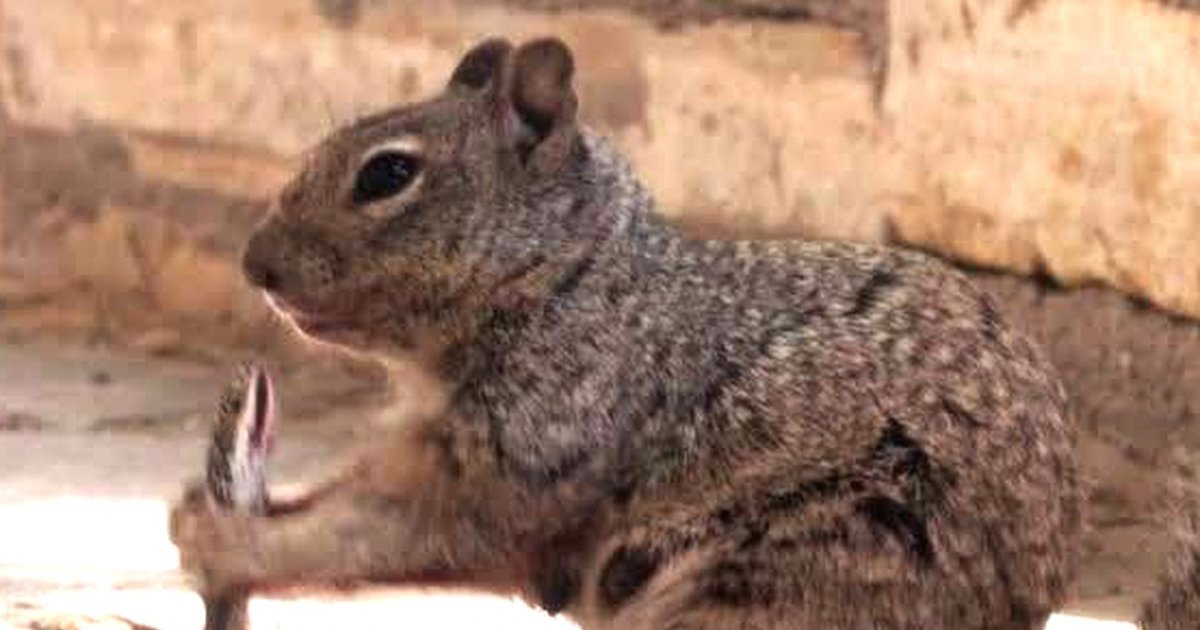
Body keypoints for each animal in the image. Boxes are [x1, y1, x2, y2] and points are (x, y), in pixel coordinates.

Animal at [170, 37, 1087, 628]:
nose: (254, 264)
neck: (571, 285)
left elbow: (385, 535)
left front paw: (225, 541)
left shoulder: (531, 455)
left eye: (387, 174)